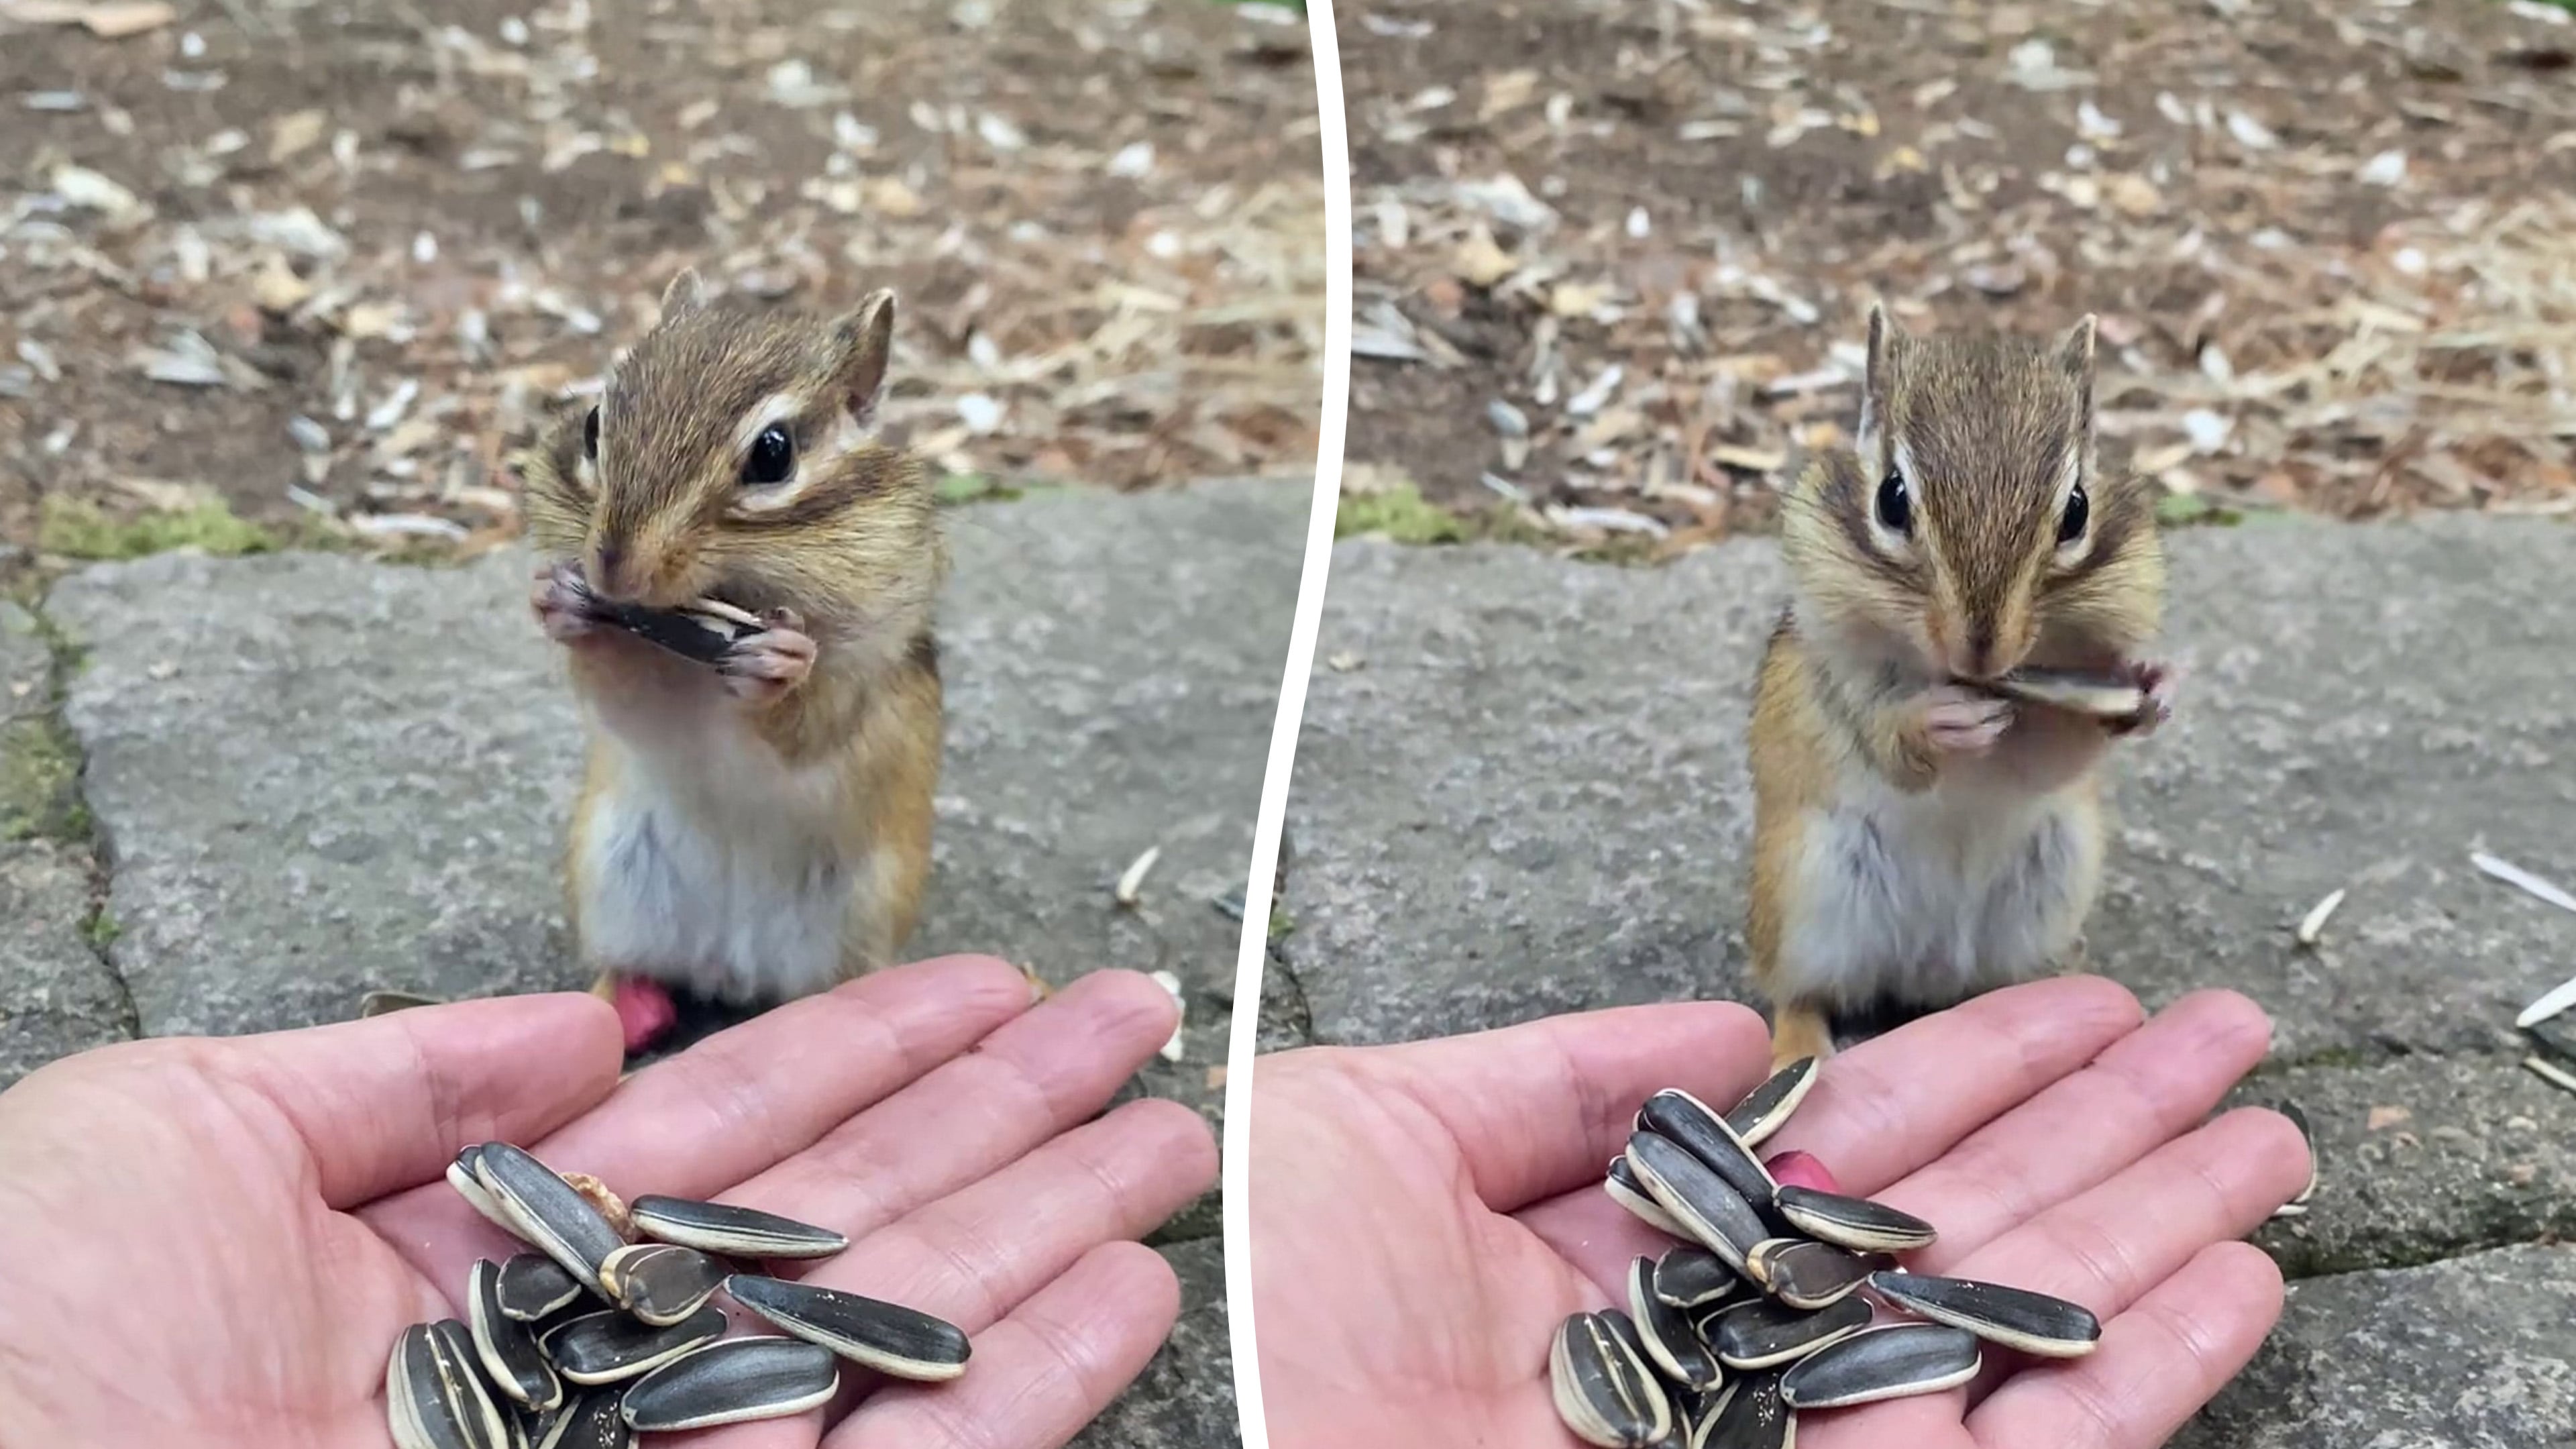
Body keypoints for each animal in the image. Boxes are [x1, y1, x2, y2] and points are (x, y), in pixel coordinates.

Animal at [515, 271, 945, 1055]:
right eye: (593, 425)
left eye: (774, 454)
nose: (612, 568)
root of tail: (732, 971)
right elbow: (624, 699)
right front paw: (558, 602)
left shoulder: (870, 673)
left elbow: (819, 723)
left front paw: (782, 663)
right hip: (612, 883)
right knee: (635, 978)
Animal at [1744, 304, 2175, 1068]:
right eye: (1891, 500)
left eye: (2076, 510)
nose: (1978, 653)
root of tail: (1929, 971)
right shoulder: (1839, 682)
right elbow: (1892, 749)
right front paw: (1937, 722)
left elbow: (2055, 760)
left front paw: (2155, 688)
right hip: (1806, 895)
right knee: (1798, 995)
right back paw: (1802, 1051)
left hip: (2051, 882)